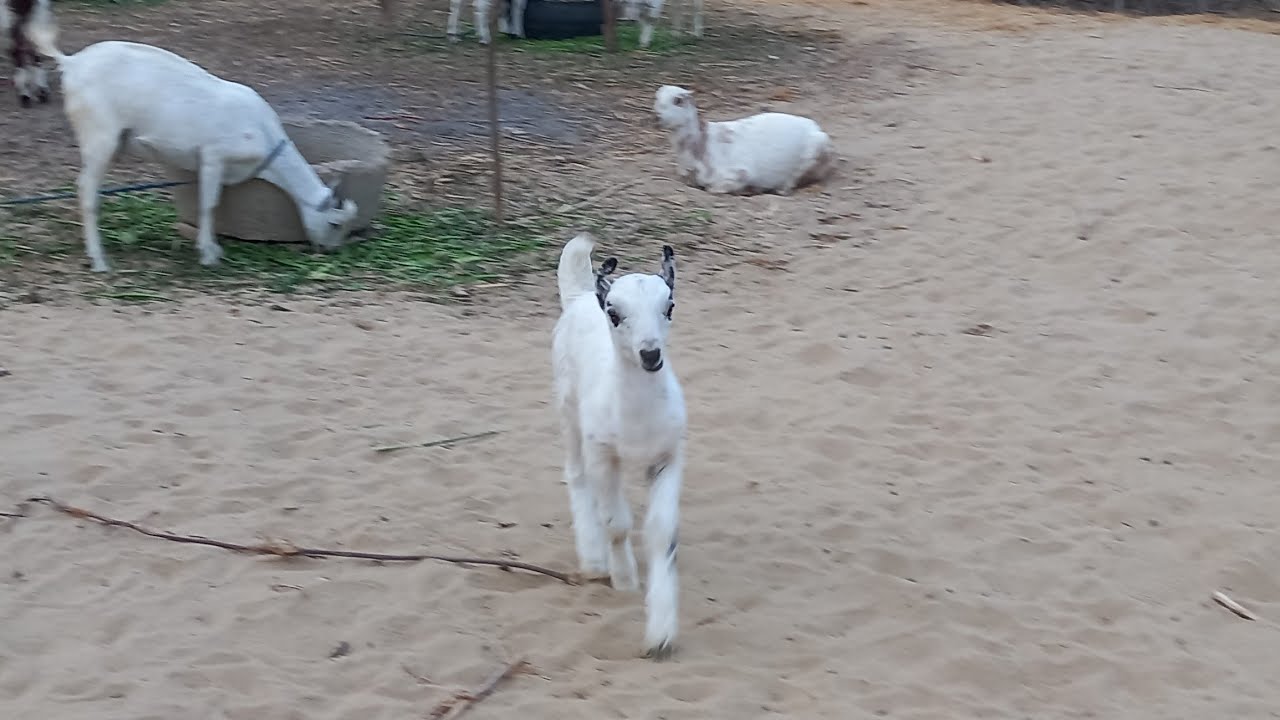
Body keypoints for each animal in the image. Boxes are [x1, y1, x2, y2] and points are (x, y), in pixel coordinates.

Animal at [25, 7, 359, 273]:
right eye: (335, 223)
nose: (330, 251)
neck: (263, 137)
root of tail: (72, 63)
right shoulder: (213, 155)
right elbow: (208, 205)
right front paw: (209, 254)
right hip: (99, 134)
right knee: (86, 190)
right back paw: (99, 261)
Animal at [552, 232, 687, 660]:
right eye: (614, 313)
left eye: (669, 306)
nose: (650, 354)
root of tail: (579, 296)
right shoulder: (602, 452)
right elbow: (617, 523)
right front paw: (625, 580)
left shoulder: (669, 454)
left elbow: (661, 531)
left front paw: (661, 633)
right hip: (568, 408)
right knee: (576, 475)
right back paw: (594, 559)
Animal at [653, 84, 835, 195]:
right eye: (656, 98)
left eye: (678, 100)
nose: (656, 117)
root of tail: (815, 127)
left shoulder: (739, 174)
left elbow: (714, 188)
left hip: (816, 150)